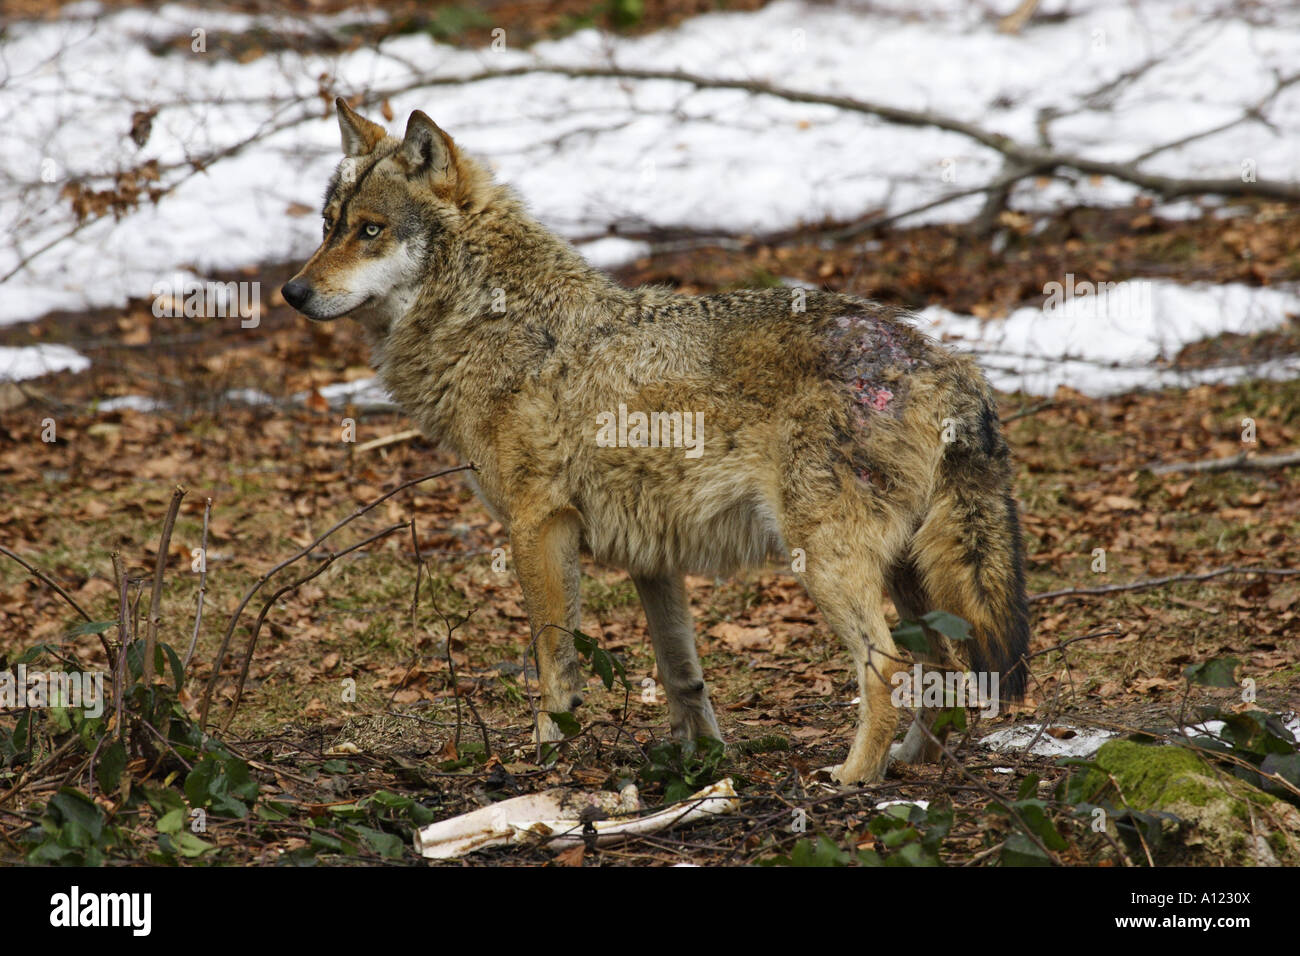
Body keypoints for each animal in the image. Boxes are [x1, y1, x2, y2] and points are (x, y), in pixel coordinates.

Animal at [281, 99, 1031, 784]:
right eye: (328, 227)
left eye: (371, 230)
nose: (291, 292)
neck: (492, 323)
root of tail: (947, 363)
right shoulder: (652, 558)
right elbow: (683, 677)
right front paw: (705, 762)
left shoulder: (538, 525)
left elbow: (555, 664)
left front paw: (547, 758)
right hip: (910, 571)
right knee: (943, 672)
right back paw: (908, 763)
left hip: (826, 564)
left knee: (889, 666)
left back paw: (853, 778)